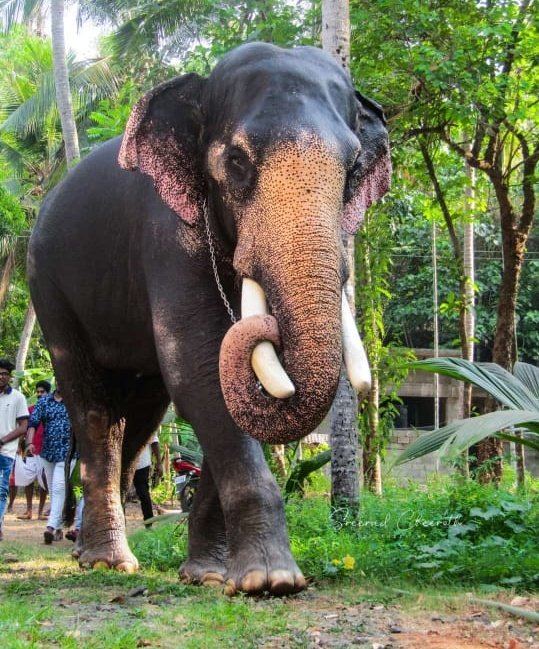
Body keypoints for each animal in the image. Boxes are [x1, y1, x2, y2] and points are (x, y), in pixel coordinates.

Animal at [27, 42, 390, 595]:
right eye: (236, 162)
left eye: (352, 171)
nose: (265, 326)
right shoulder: (166, 234)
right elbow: (198, 363)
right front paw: (270, 580)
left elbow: (210, 379)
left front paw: (209, 574)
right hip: (47, 284)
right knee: (91, 407)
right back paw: (107, 562)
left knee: (142, 413)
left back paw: (90, 549)